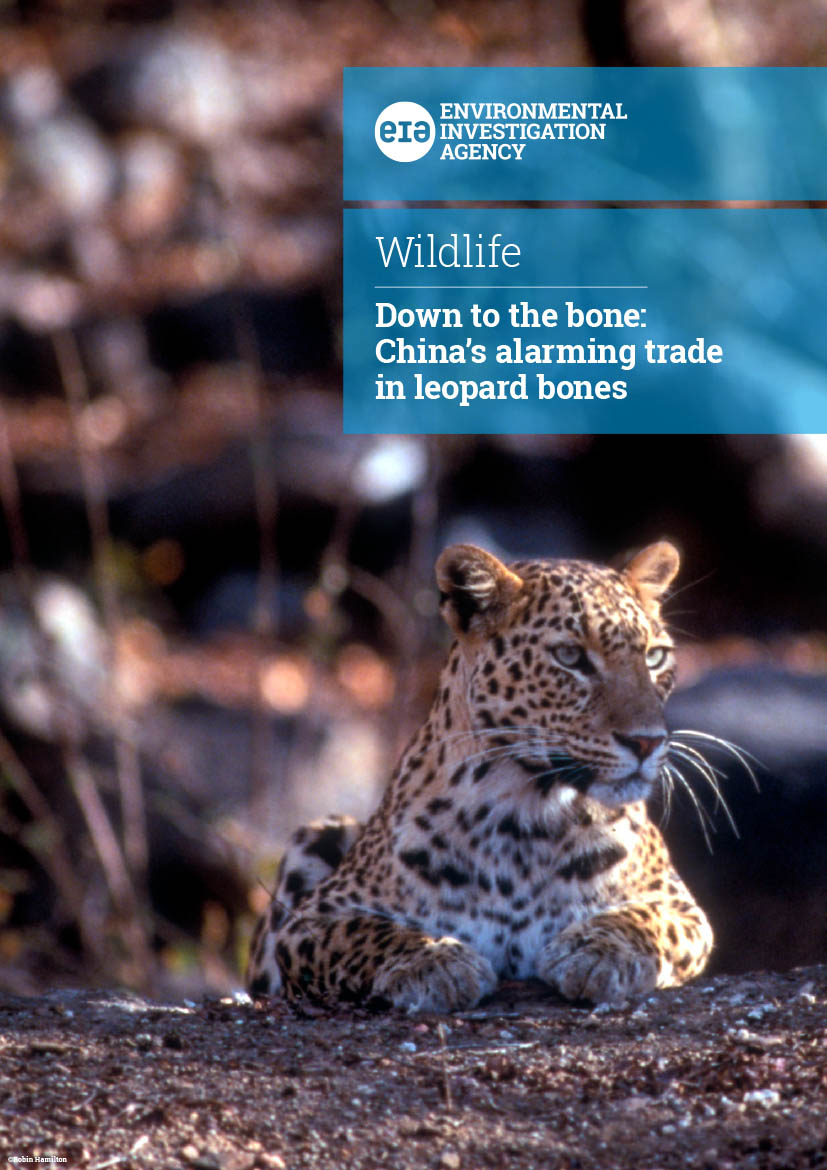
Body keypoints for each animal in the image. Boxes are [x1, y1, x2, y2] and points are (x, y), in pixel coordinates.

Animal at [247, 540, 714, 1011]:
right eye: (570, 657)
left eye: (655, 657)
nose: (647, 742)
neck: (529, 815)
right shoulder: (311, 920)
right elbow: (366, 933)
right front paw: (435, 961)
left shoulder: (681, 905)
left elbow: (647, 922)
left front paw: (598, 952)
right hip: (318, 832)